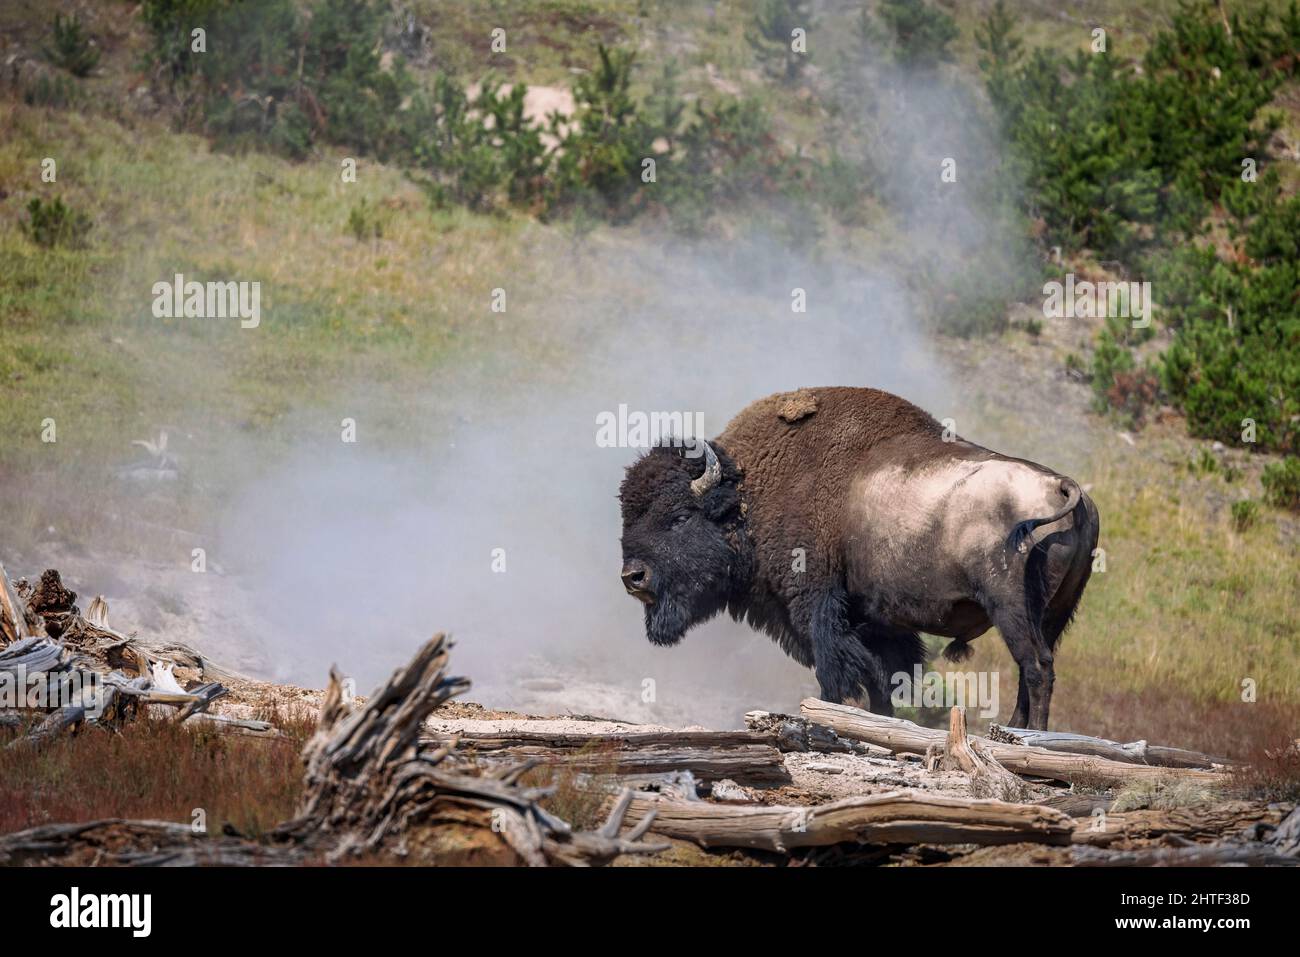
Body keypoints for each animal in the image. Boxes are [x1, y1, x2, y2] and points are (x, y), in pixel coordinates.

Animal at [618, 387, 1099, 730]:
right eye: (627, 514)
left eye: (680, 517)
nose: (632, 576)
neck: (747, 496)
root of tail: (1061, 486)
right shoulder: (873, 621)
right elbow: (880, 679)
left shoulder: (816, 607)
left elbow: (836, 672)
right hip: (1054, 613)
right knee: (1037, 664)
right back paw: (1016, 730)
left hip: (1011, 606)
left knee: (1035, 666)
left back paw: (1028, 733)